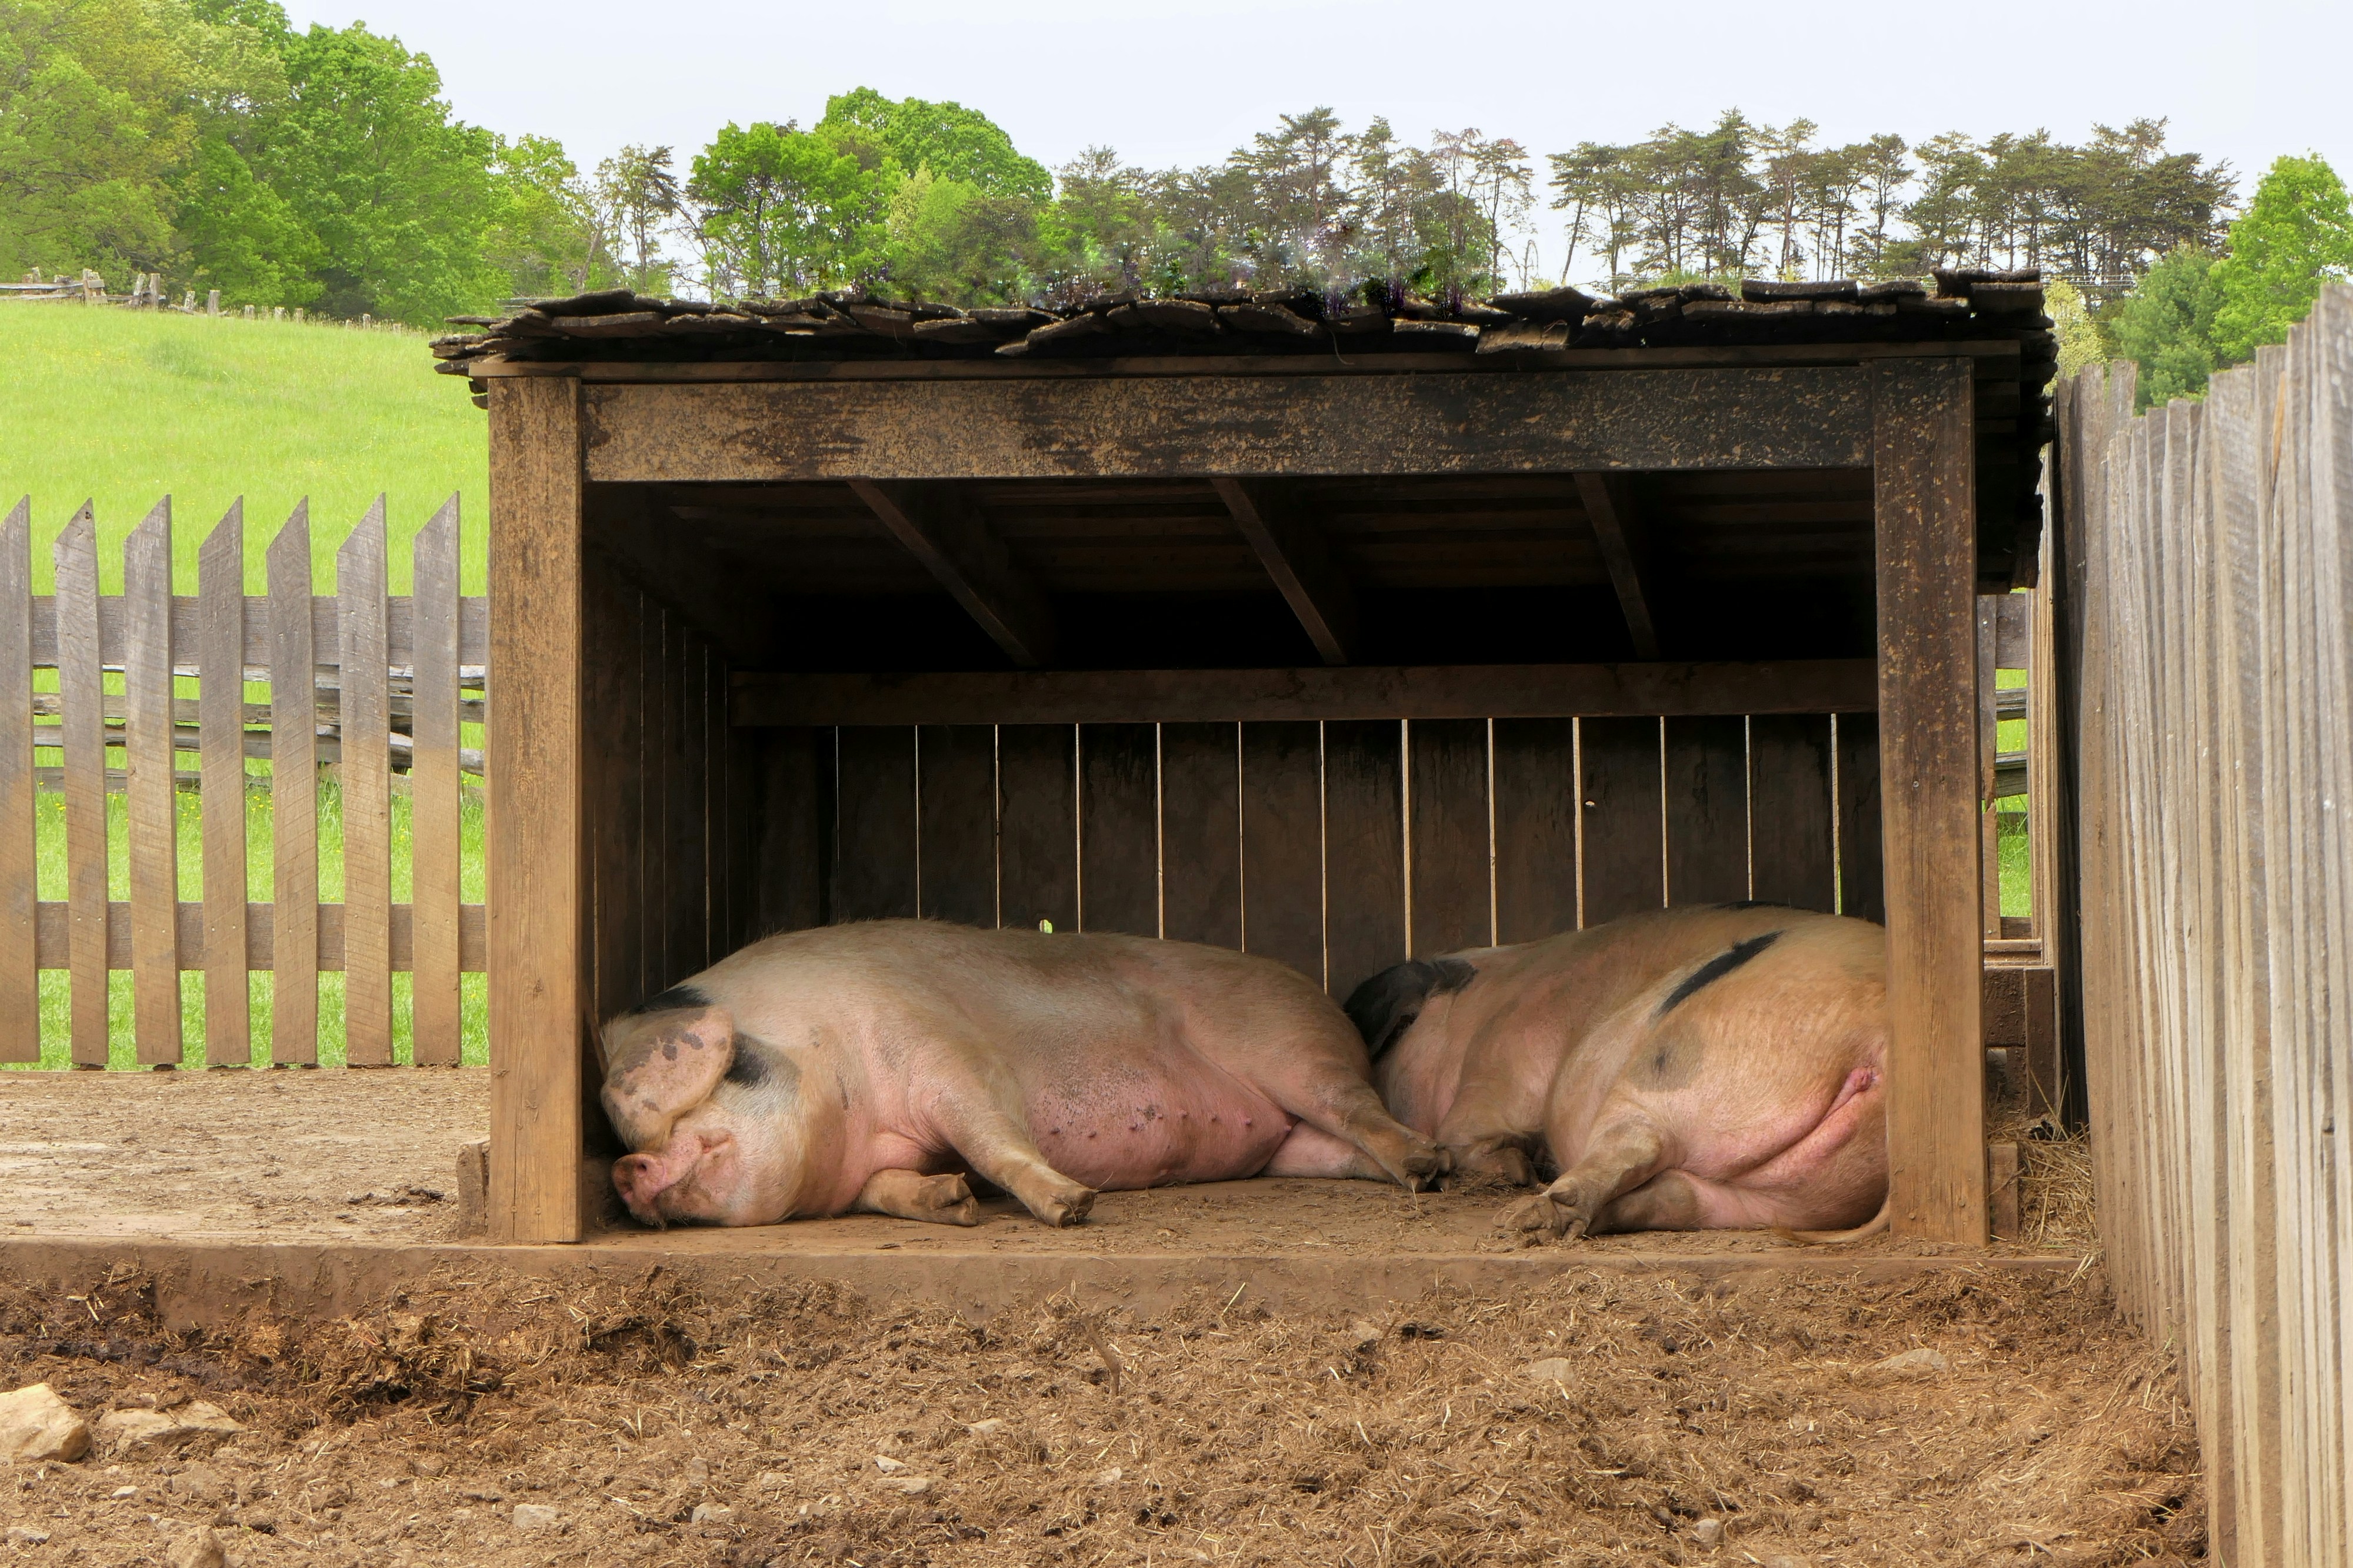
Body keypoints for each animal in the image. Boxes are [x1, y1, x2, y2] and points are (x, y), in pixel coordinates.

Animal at [599, 919, 1447, 1229]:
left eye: (733, 1071)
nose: (624, 1168)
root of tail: (1323, 997)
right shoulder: (876, 1160)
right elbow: (892, 1189)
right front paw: (953, 1201)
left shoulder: (944, 1052)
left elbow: (989, 1130)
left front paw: (1071, 1206)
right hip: (1291, 1141)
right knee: (1343, 1151)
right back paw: (1420, 1173)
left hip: (1293, 1050)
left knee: (1360, 1108)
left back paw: (1429, 1165)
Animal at [1347, 904, 1887, 1240]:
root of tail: (1878, 1046)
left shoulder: (1502, 1061)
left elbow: (1464, 1135)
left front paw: (1512, 1168)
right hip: (1789, 1199)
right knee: (1679, 1199)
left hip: (1675, 1067)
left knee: (1637, 1144)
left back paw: (1525, 1215)